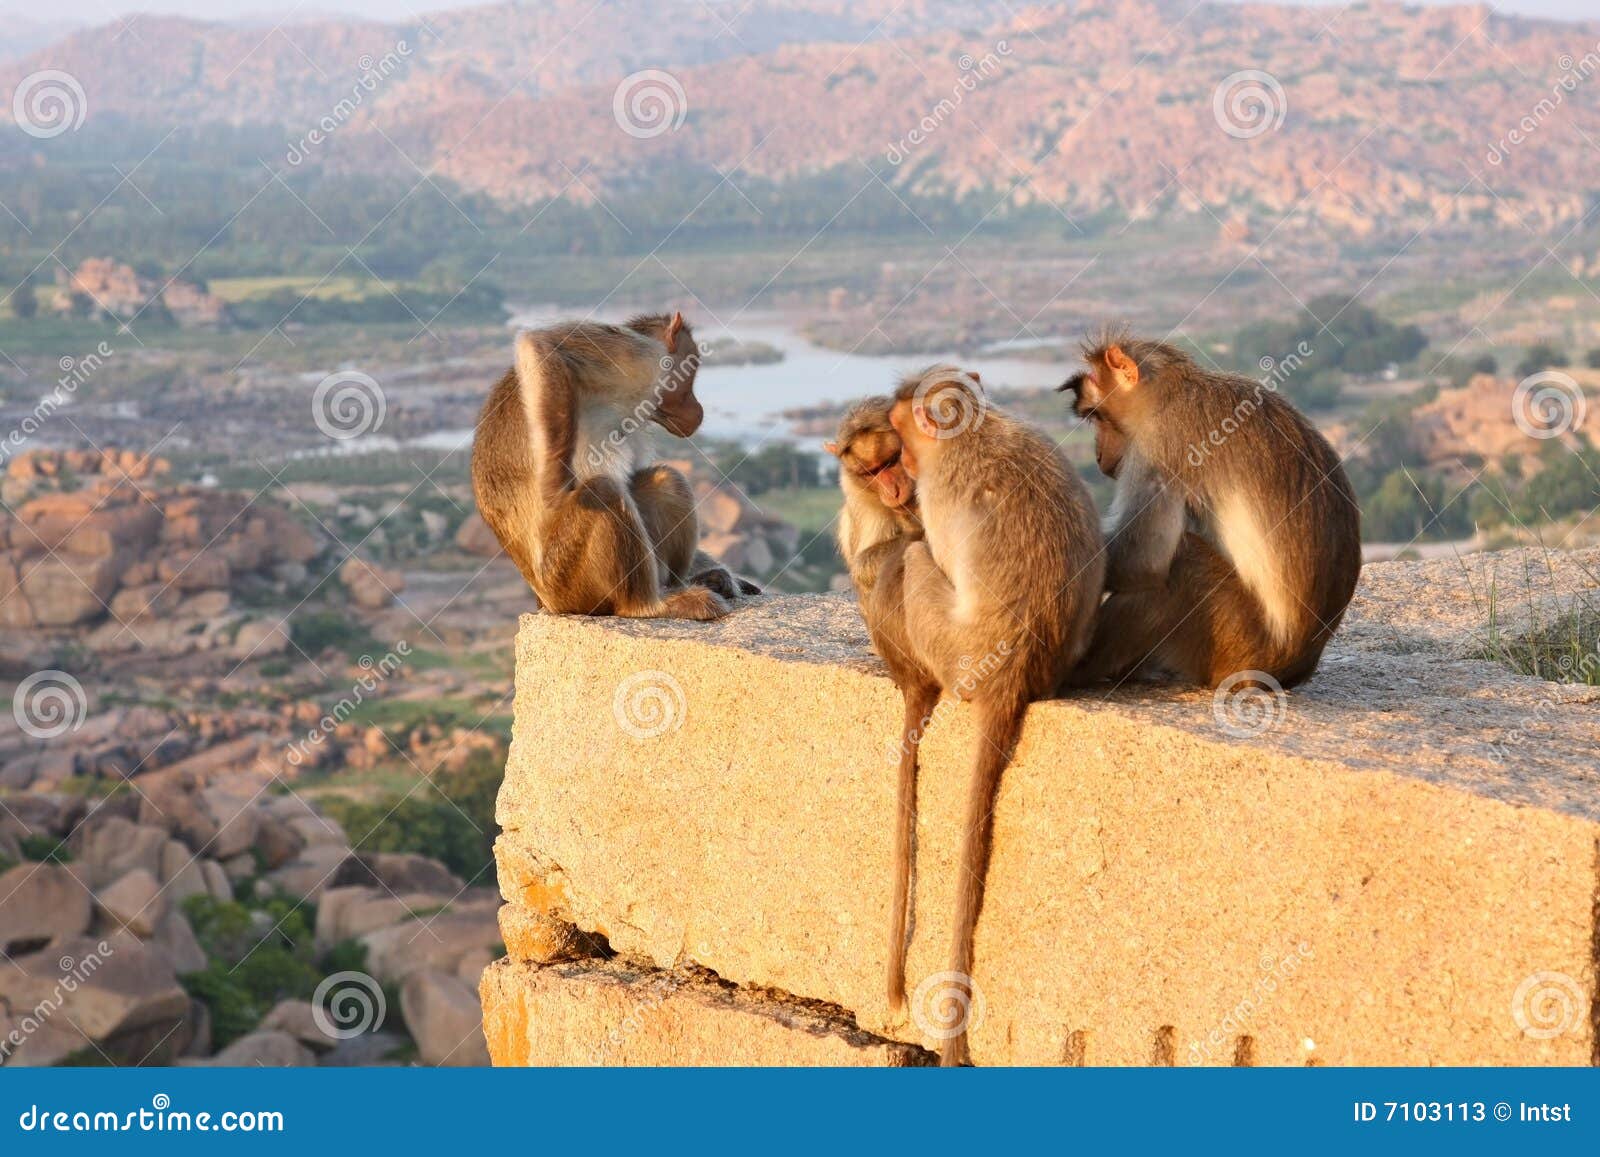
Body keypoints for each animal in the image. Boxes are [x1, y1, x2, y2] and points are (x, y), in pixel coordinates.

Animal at [471, 312, 759, 621]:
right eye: (691, 369)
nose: (699, 410)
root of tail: (547, 601)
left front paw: (727, 576)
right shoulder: (634, 355)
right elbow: (541, 344)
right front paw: (553, 478)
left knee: (666, 480)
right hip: (569, 582)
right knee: (602, 490)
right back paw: (649, 605)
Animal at [884, 367, 1104, 1065]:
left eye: (901, 436)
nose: (901, 467)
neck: (975, 430)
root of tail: (1011, 678)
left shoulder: (938, 490)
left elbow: (926, 542)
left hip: (950, 648)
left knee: (915, 563)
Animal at [1060, 330, 1361, 690]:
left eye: (1098, 416)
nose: (1097, 455)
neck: (1168, 394)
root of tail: (1293, 669)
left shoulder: (1160, 447)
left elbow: (1142, 559)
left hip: (1234, 643)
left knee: (1182, 564)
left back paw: (1077, 671)